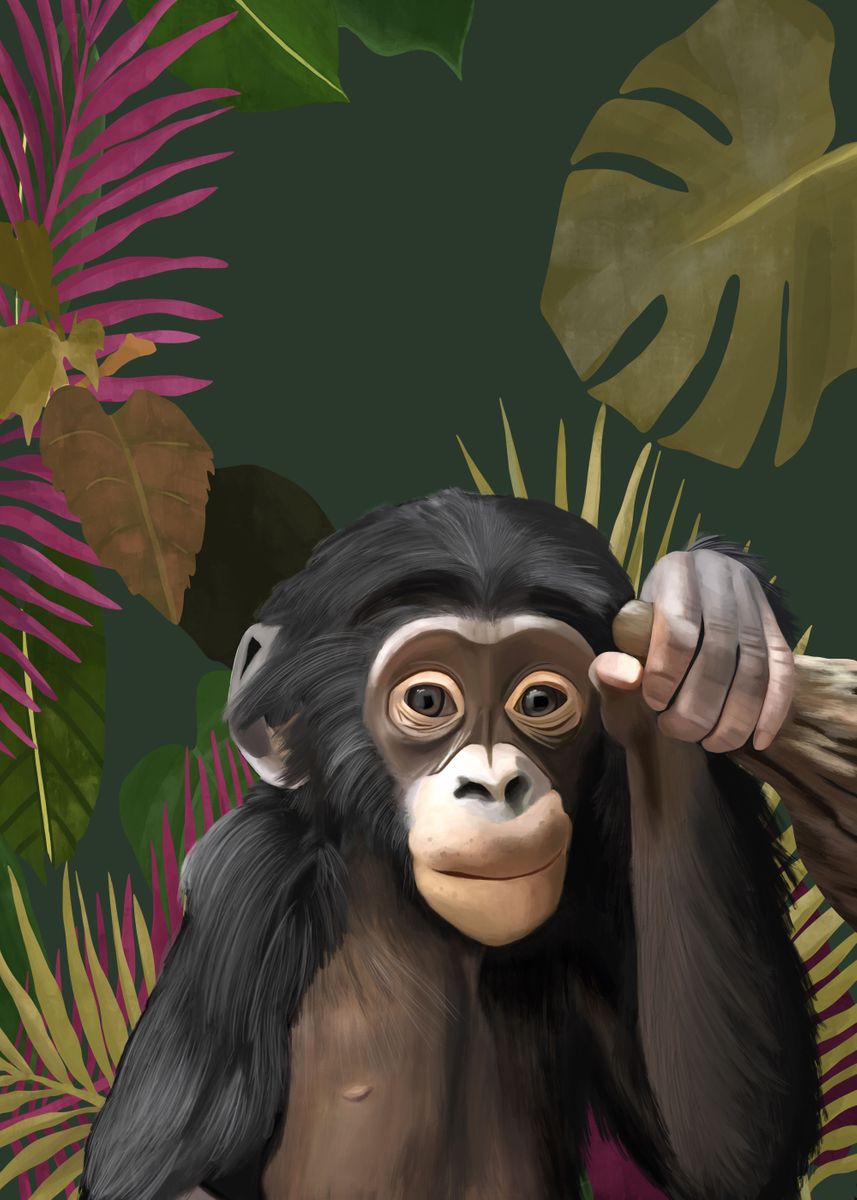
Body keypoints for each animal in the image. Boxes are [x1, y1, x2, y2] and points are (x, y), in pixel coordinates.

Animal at [79, 488, 830, 1200]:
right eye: (428, 702)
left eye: (539, 702)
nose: (494, 784)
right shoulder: (247, 880)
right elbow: (159, 1180)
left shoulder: (595, 886)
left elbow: (721, 1149)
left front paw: (703, 615)